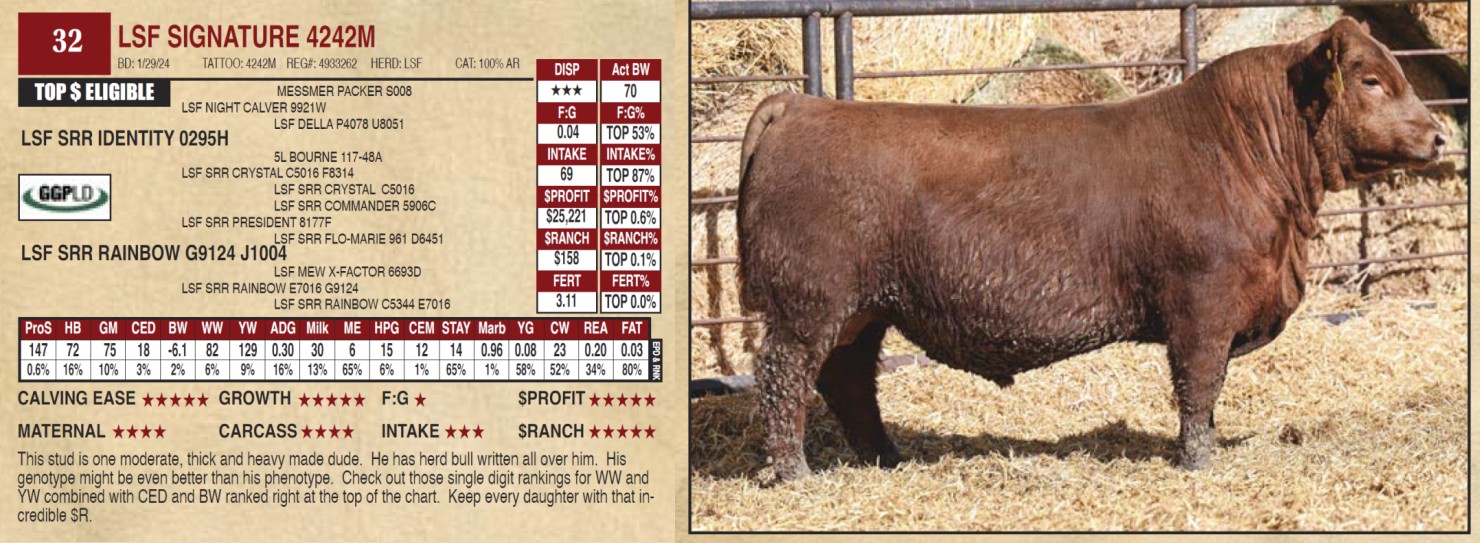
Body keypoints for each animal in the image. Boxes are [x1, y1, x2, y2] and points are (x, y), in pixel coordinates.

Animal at [736, 18, 1448, 481]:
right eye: (1371, 81)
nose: (1440, 135)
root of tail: (799, 104)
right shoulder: (1203, 306)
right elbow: (1199, 385)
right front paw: (1198, 461)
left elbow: (1209, 391)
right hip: (808, 302)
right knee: (783, 377)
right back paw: (796, 473)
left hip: (862, 309)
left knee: (847, 378)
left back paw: (887, 459)